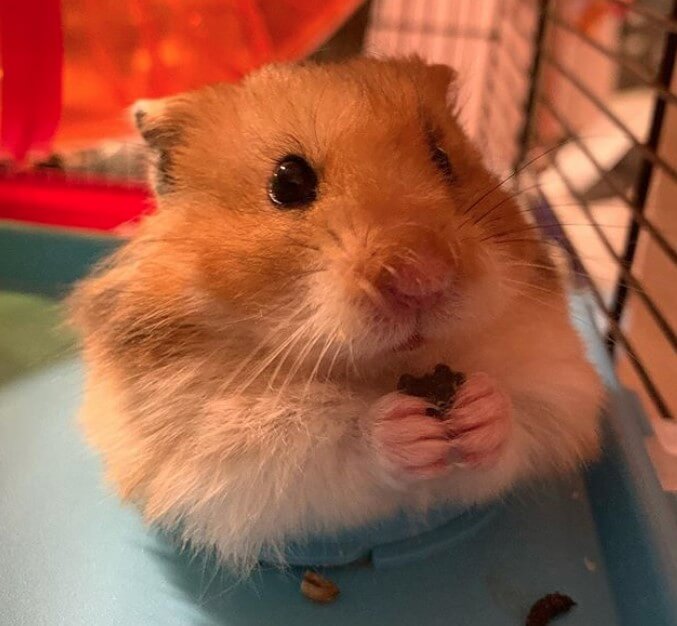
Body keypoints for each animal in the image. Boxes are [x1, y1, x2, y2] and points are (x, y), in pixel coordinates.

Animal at [69, 57, 603, 572]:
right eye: (288, 181)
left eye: (444, 158)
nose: (423, 279)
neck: (386, 368)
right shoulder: (227, 456)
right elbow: (334, 443)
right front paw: (402, 426)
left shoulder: (556, 389)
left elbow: (518, 420)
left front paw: (479, 406)